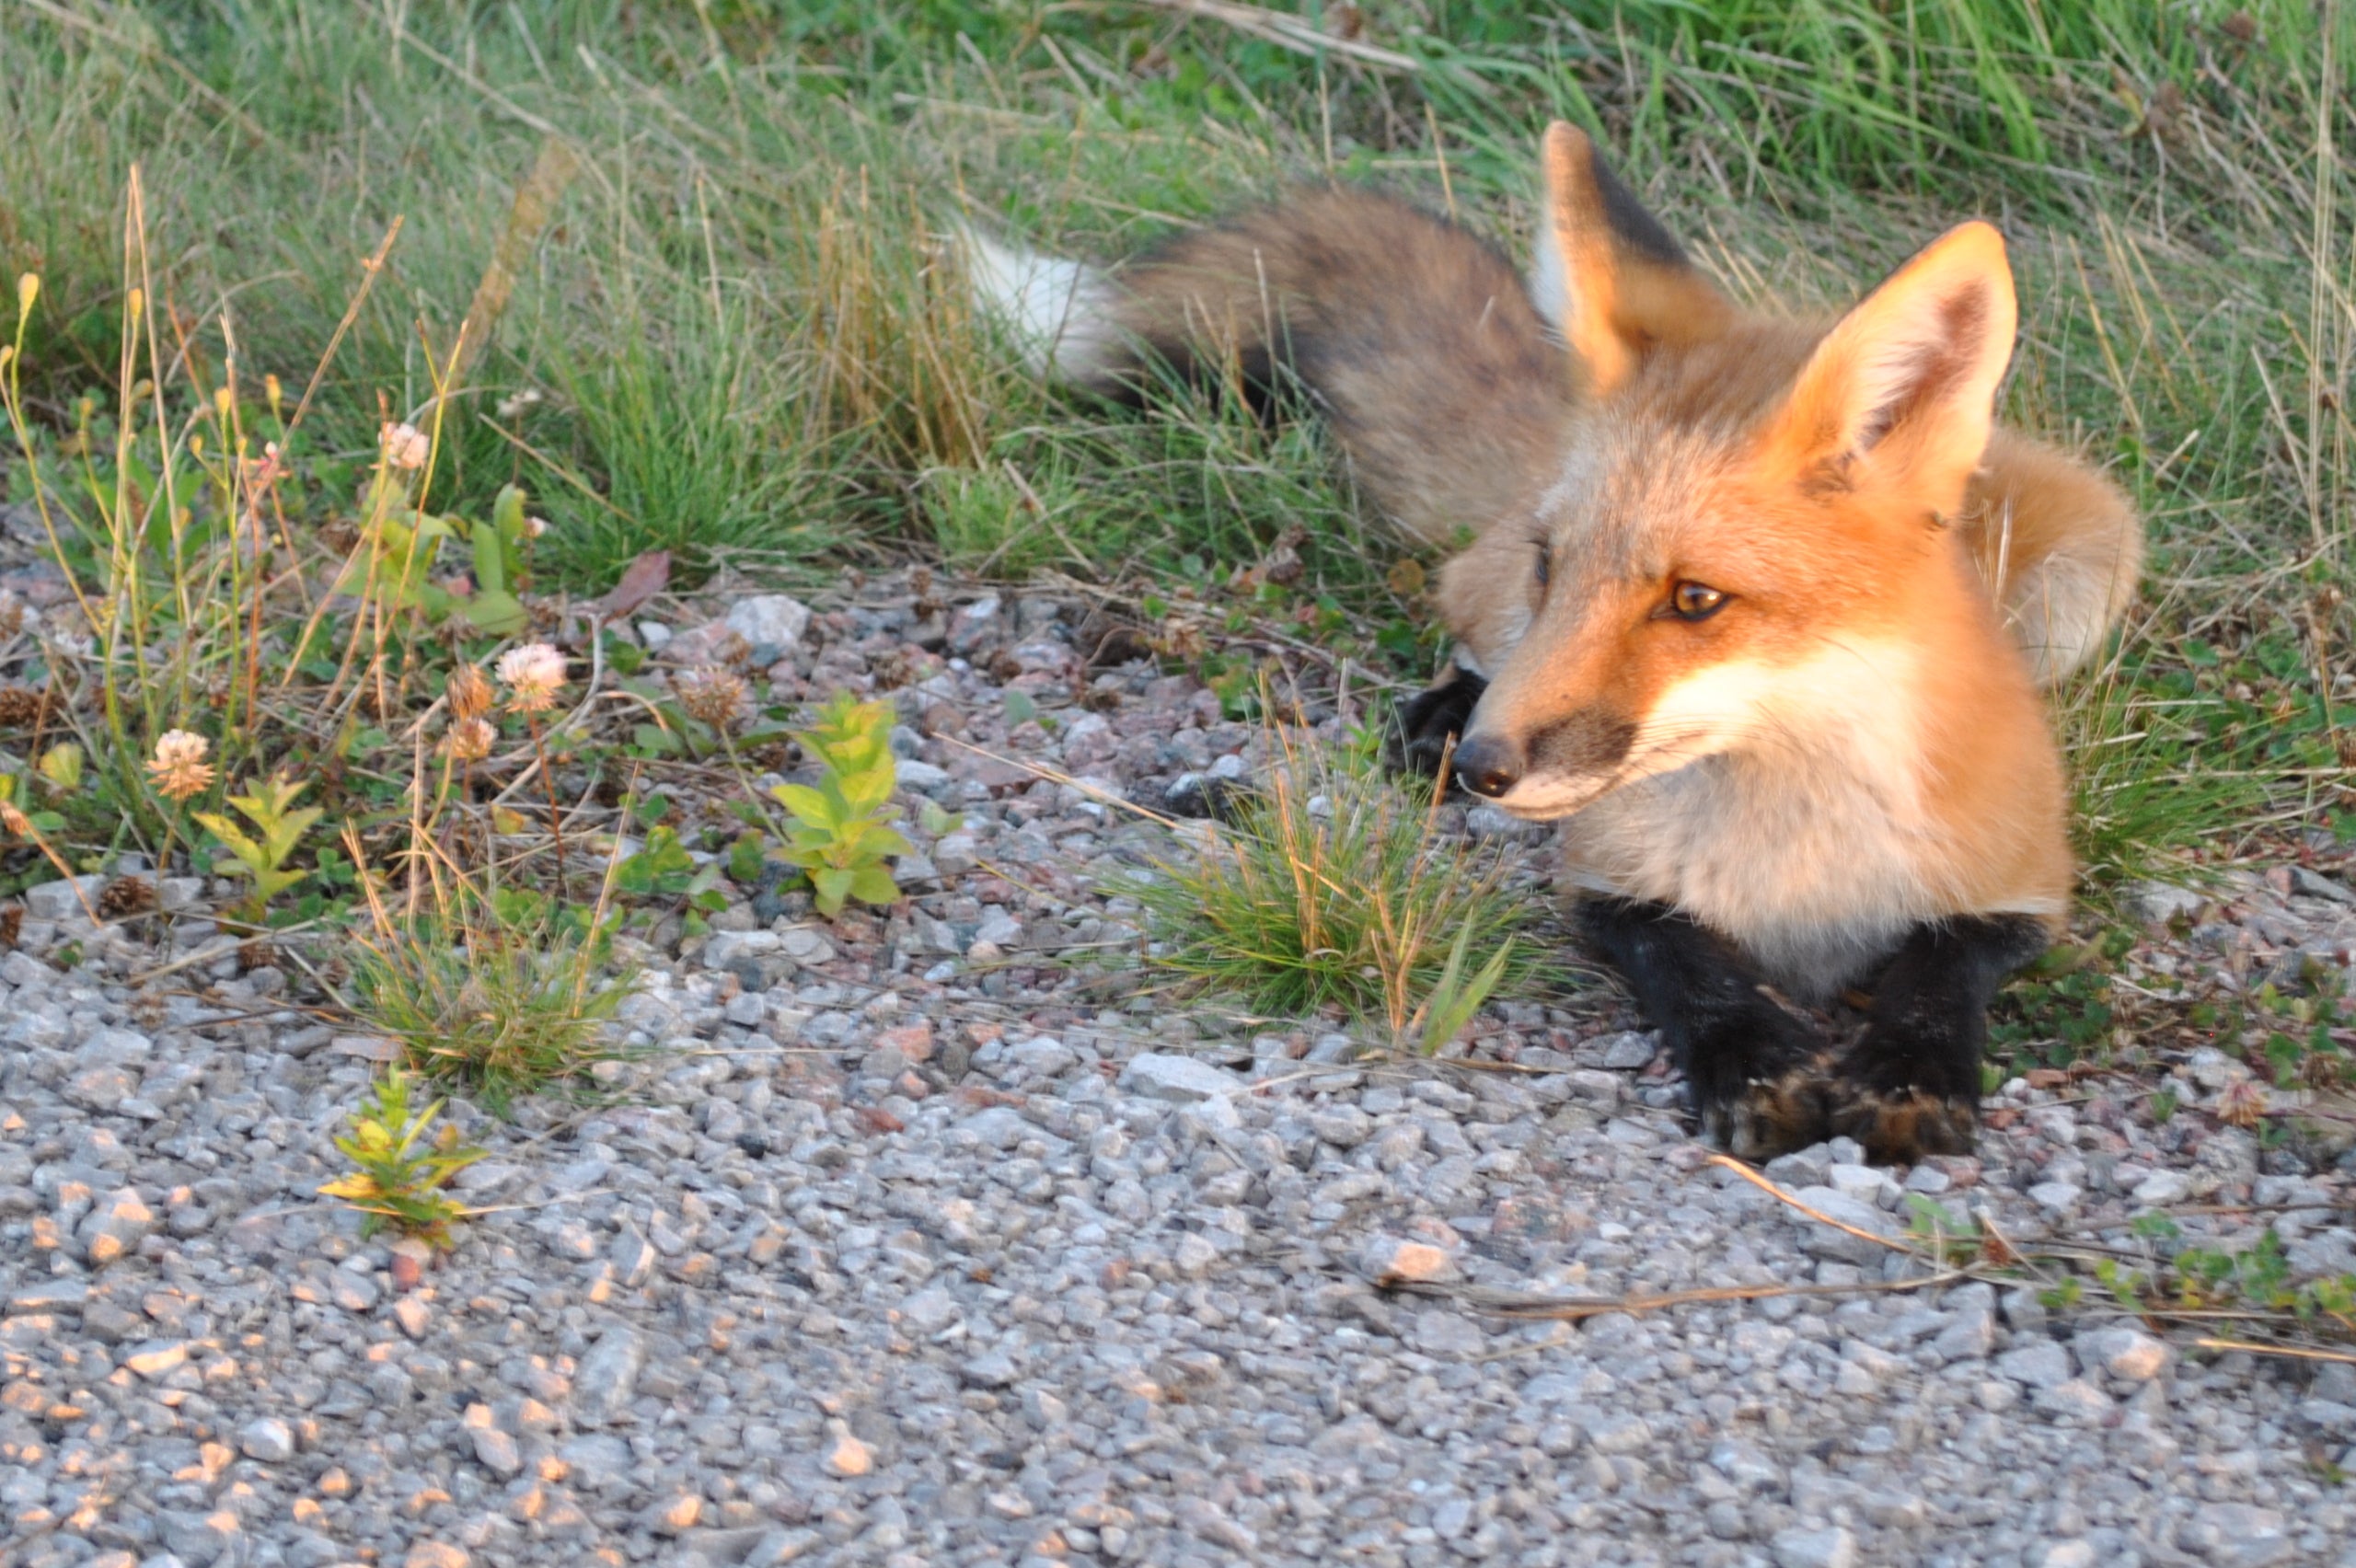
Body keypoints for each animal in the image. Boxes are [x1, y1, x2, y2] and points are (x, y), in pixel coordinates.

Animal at [962, 123, 2142, 1164]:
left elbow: (1941, 974)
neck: (1795, 864)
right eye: (1554, 566)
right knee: (1464, 625)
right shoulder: (1603, 878)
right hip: (1487, 605)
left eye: (1694, 599)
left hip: (2088, 573)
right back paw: (1435, 718)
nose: (1489, 768)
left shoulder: (2022, 882)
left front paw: (1908, 1076)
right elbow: (1684, 963)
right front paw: (1755, 1062)